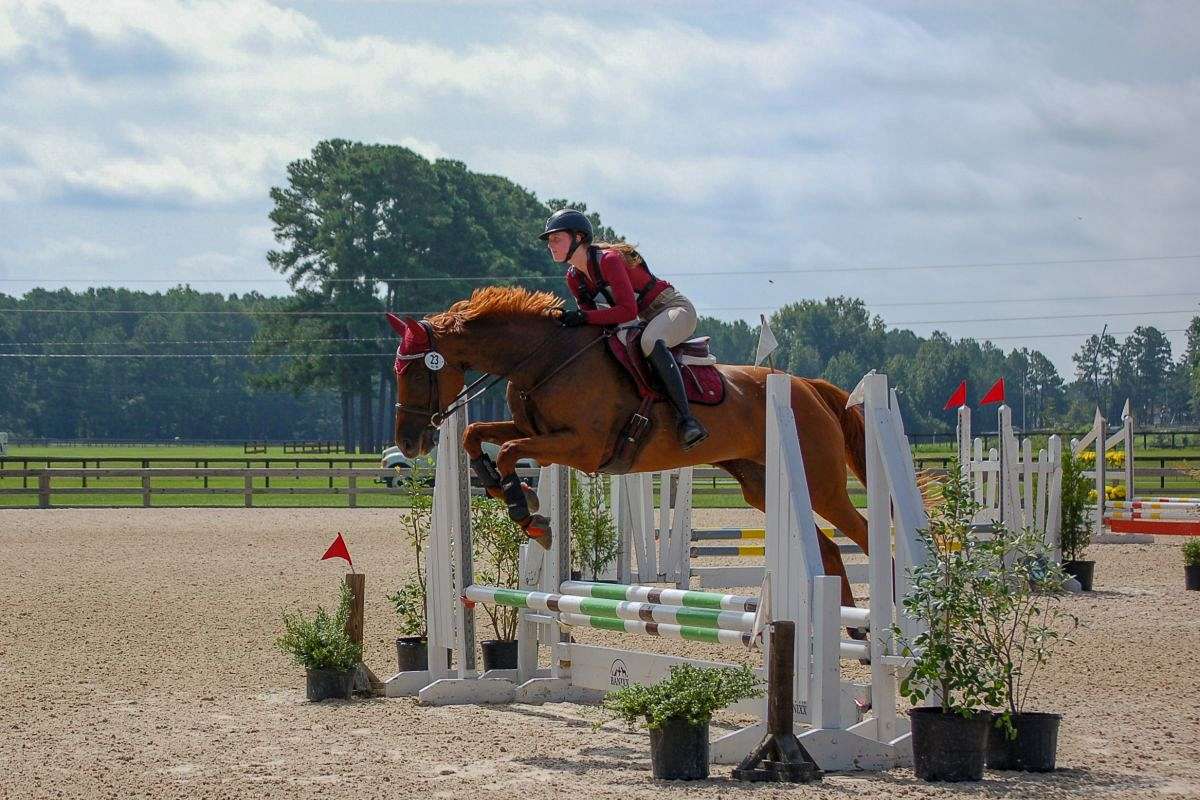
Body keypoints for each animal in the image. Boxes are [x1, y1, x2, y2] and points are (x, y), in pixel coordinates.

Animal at [388, 286, 870, 609]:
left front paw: (530, 514)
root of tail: (806, 385)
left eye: (416, 372)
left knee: (864, 532)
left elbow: (508, 452)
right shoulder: (534, 431)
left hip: (821, 485)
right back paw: (848, 628)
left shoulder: (580, 446)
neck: (543, 358)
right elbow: (475, 434)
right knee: (828, 551)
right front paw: (502, 489)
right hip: (764, 487)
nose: (408, 444)